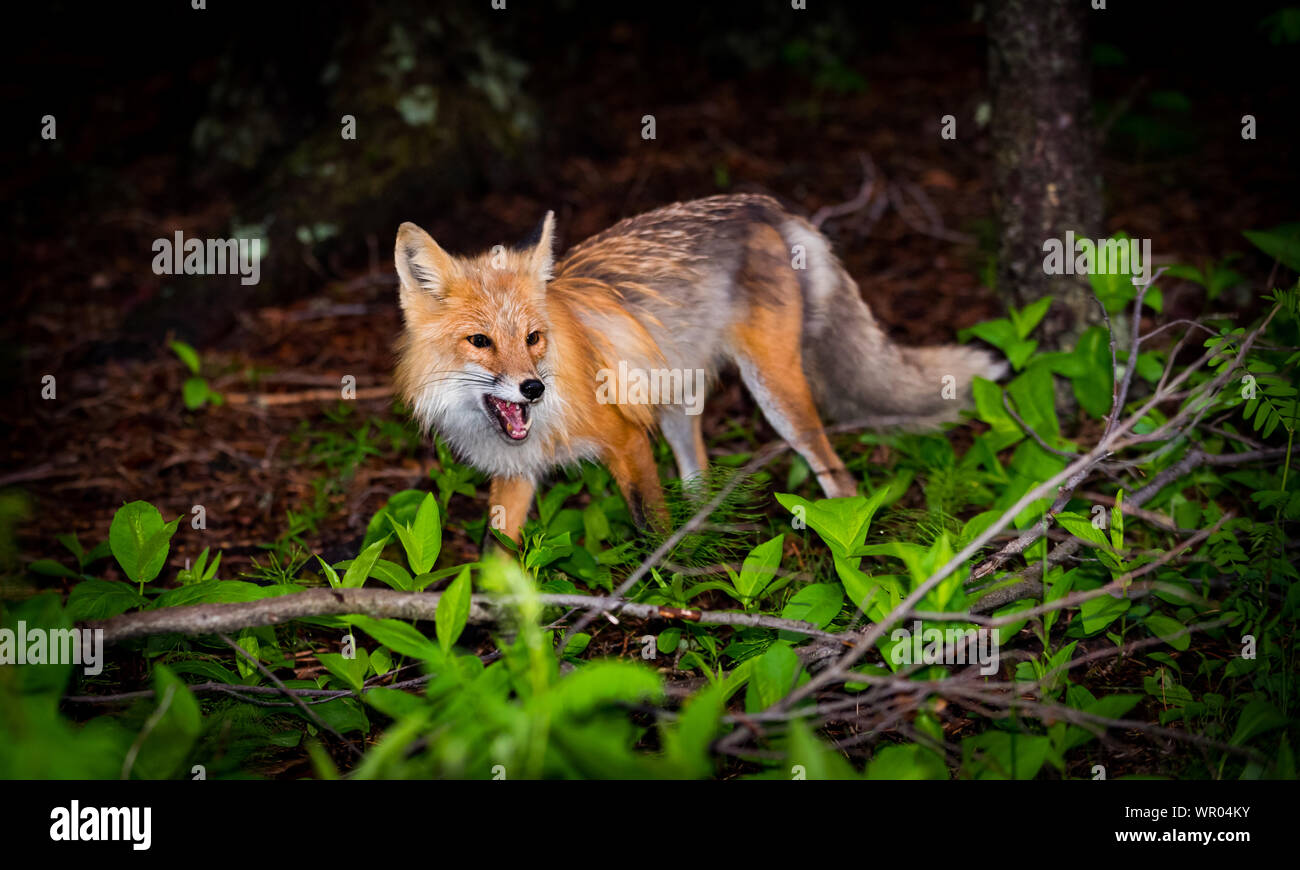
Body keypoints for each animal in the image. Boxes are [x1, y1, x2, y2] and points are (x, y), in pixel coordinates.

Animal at [394, 193, 1005, 544]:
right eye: (480, 341)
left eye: (532, 338)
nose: (533, 388)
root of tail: (759, 204)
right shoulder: (517, 475)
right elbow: (496, 567)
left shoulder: (625, 440)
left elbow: (650, 529)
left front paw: (666, 599)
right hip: (676, 403)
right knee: (699, 481)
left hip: (776, 392)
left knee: (836, 473)